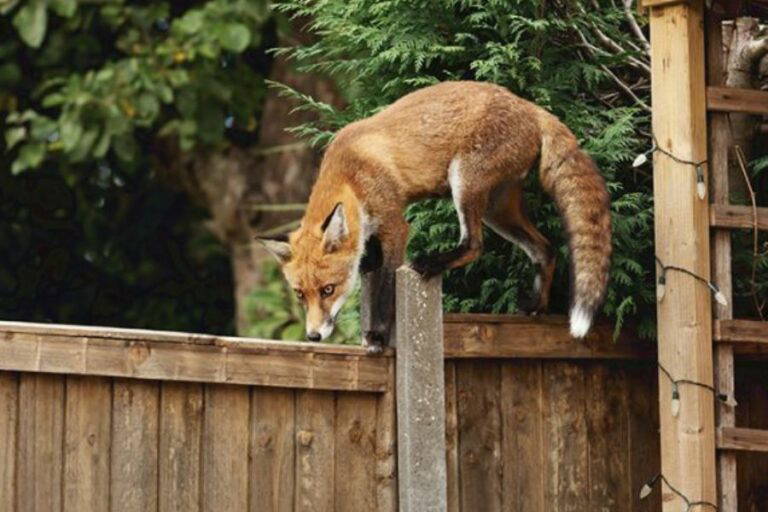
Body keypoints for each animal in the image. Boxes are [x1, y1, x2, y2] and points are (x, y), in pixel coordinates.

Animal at [258, 81, 611, 353]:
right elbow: (370, 267)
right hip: (498, 211)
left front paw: (378, 336)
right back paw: (537, 305)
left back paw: (432, 263)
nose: (313, 335)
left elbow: (385, 289)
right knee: (545, 249)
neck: (351, 176)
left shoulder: (396, 226)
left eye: (328, 290)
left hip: (465, 184)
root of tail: (530, 106)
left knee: (474, 245)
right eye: (300, 294)